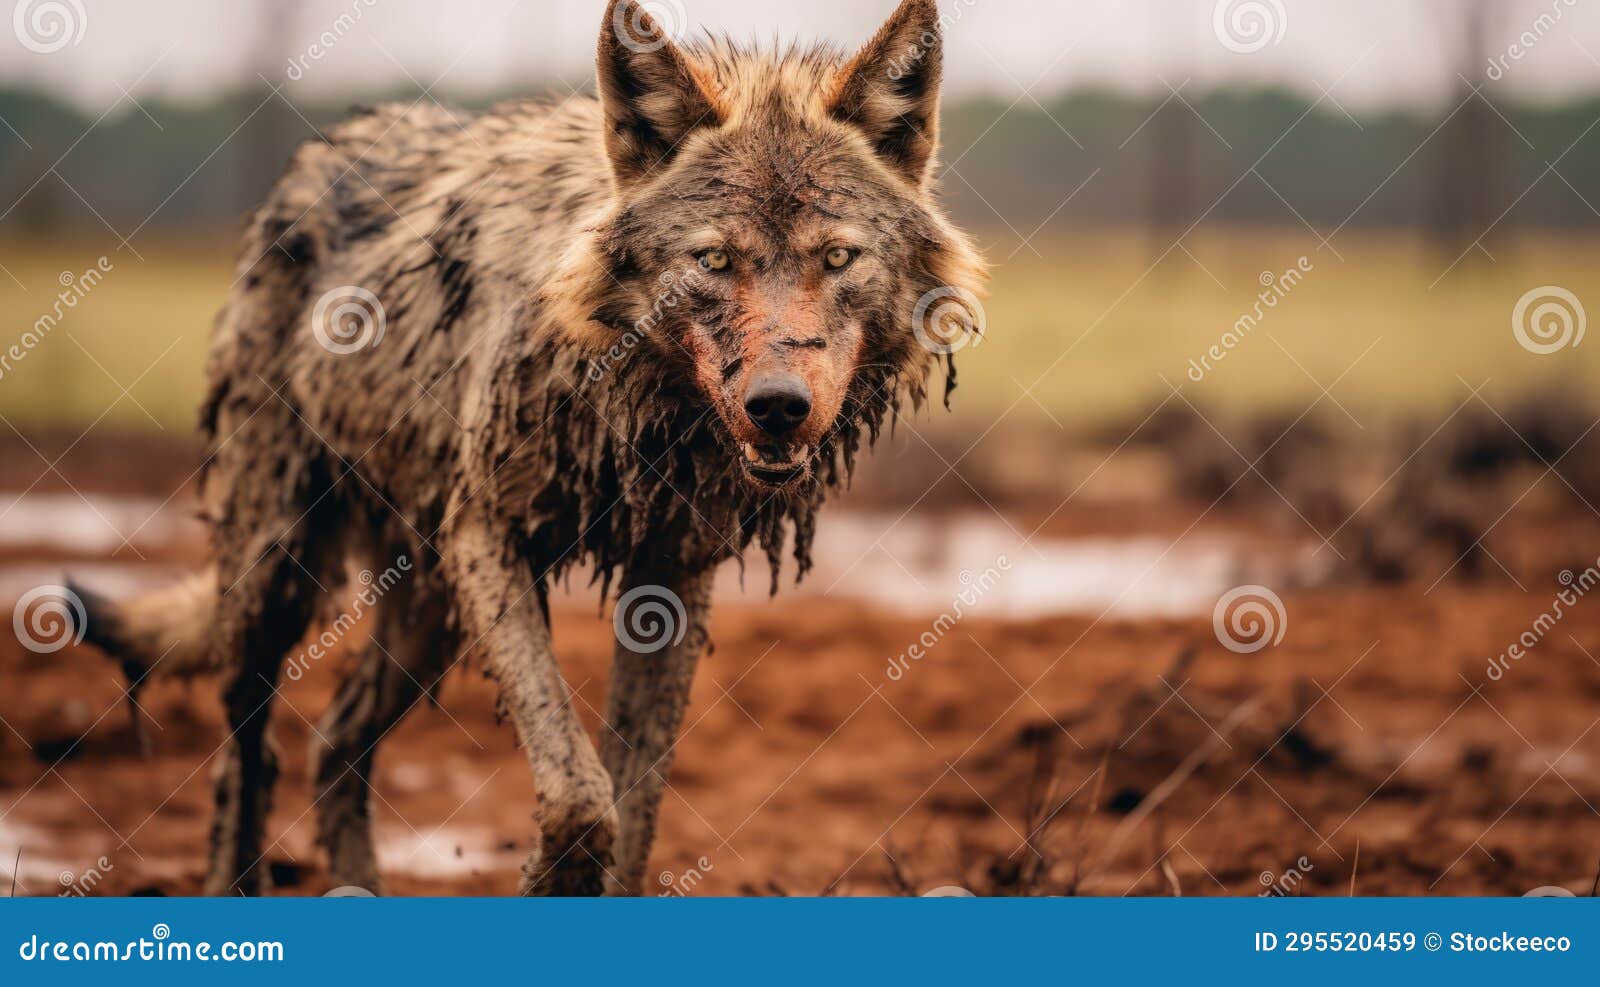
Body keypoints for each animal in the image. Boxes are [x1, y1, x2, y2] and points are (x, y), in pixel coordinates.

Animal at [71, 0, 985, 896]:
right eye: (715, 259)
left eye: (838, 257)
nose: (778, 408)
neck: (636, 406)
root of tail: (314, 156)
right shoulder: (489, 534)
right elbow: (580, 794)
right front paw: (552, 876)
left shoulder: (671, 576)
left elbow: (635, 807)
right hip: (281, 573)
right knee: (249, 749)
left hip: (424, 608)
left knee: (334, 740)